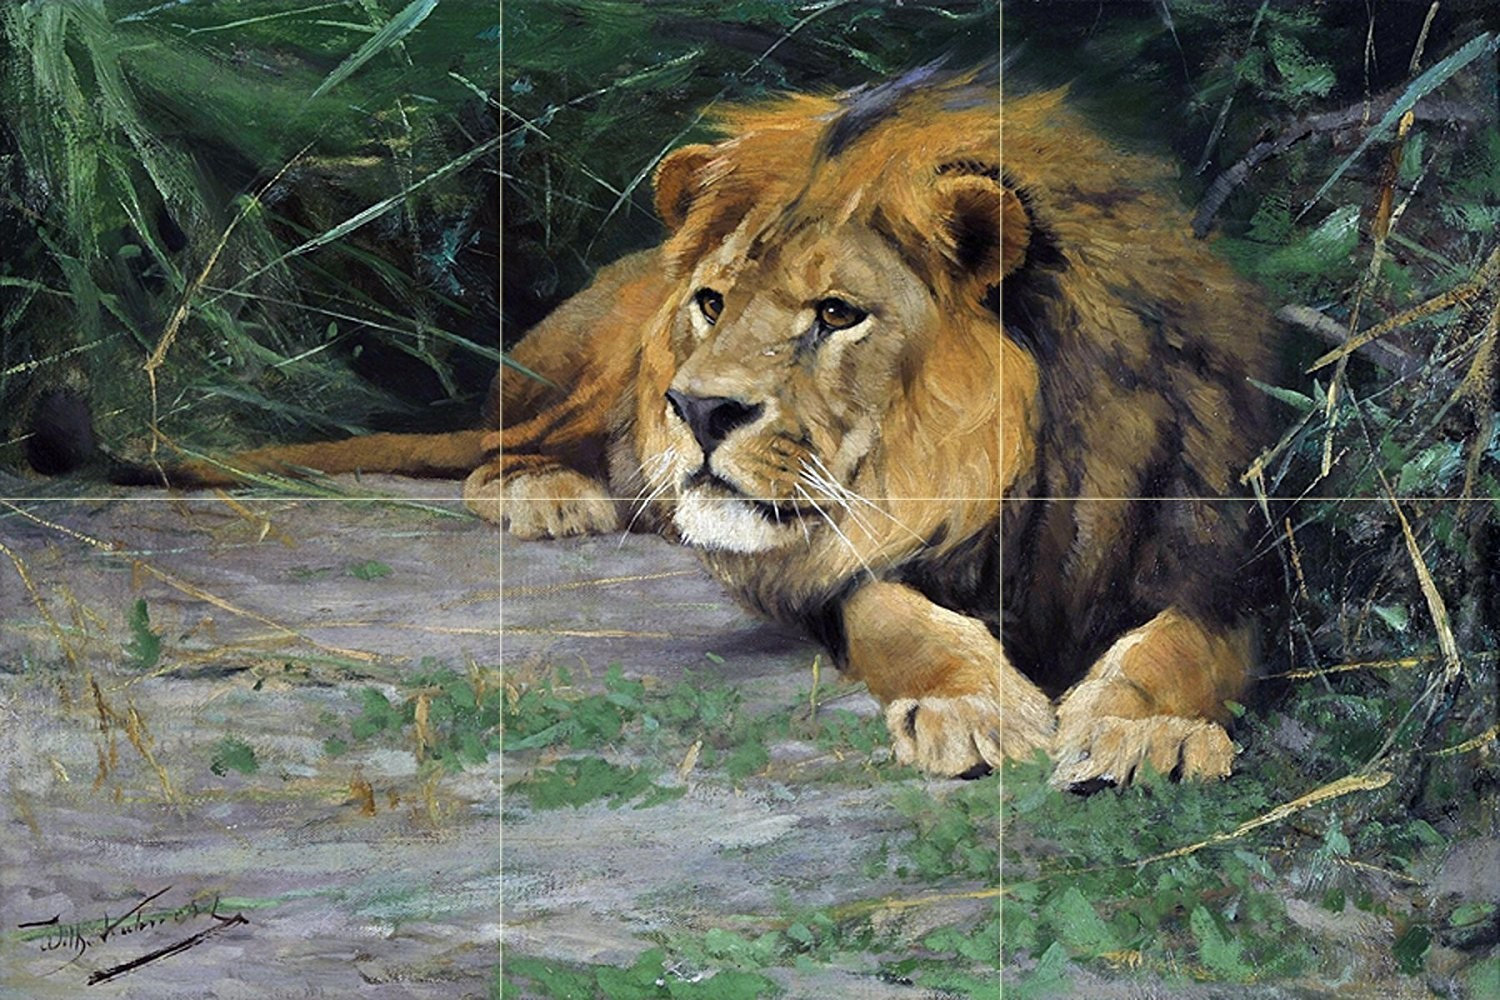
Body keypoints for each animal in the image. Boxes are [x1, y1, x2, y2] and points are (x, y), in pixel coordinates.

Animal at [35, 66, 1276, 784]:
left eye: (838, 314)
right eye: (715, 302)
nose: (701, 408)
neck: (1000, 486)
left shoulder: (1215, 557)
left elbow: (1188, 644)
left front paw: (1147, 731)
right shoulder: (818, 570)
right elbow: (898, 617)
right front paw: (973, 707)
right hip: (595, 373)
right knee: (500, 446)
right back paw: (553, 493)